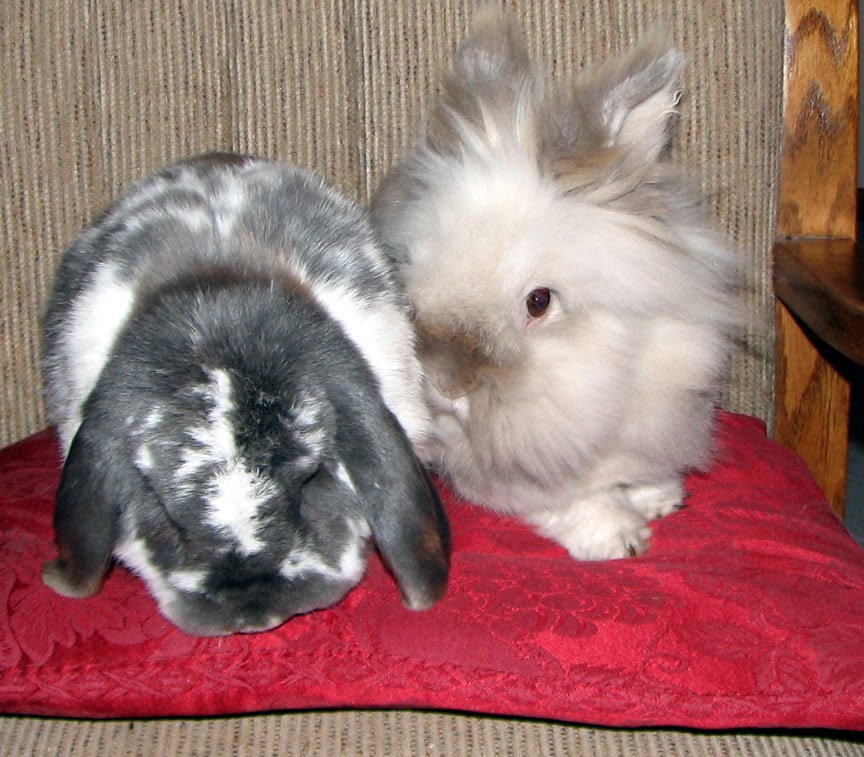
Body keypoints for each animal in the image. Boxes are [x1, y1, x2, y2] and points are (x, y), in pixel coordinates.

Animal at [370, 10, 740, 561]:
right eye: (406, 276)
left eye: (539, 302)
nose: (444, 385)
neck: (609, 375)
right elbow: (568, 495)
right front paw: (621, 537)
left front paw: (658, 495)